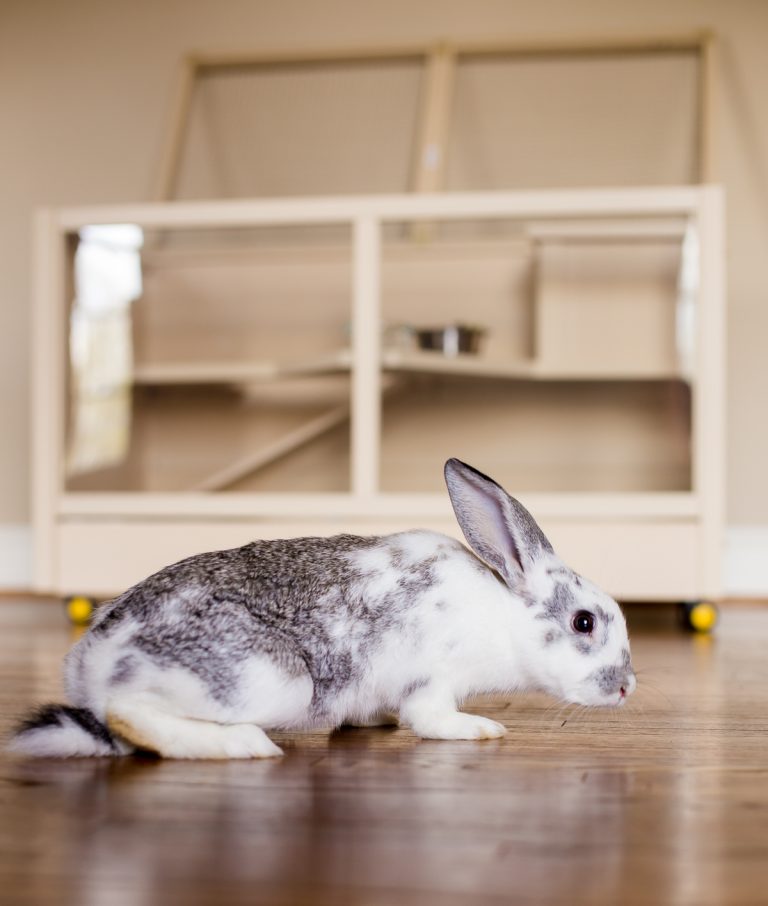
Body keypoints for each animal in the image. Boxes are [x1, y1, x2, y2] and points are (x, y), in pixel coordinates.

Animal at [9, 458, 635, 759]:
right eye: (583, 622)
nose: (628, 687)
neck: (504, 615)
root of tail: (90, 667)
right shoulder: (433, 681)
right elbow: (431, 720)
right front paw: (481, 729)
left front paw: (373, 722)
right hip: (272, 681)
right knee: (130, 715)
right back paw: (244, 746)